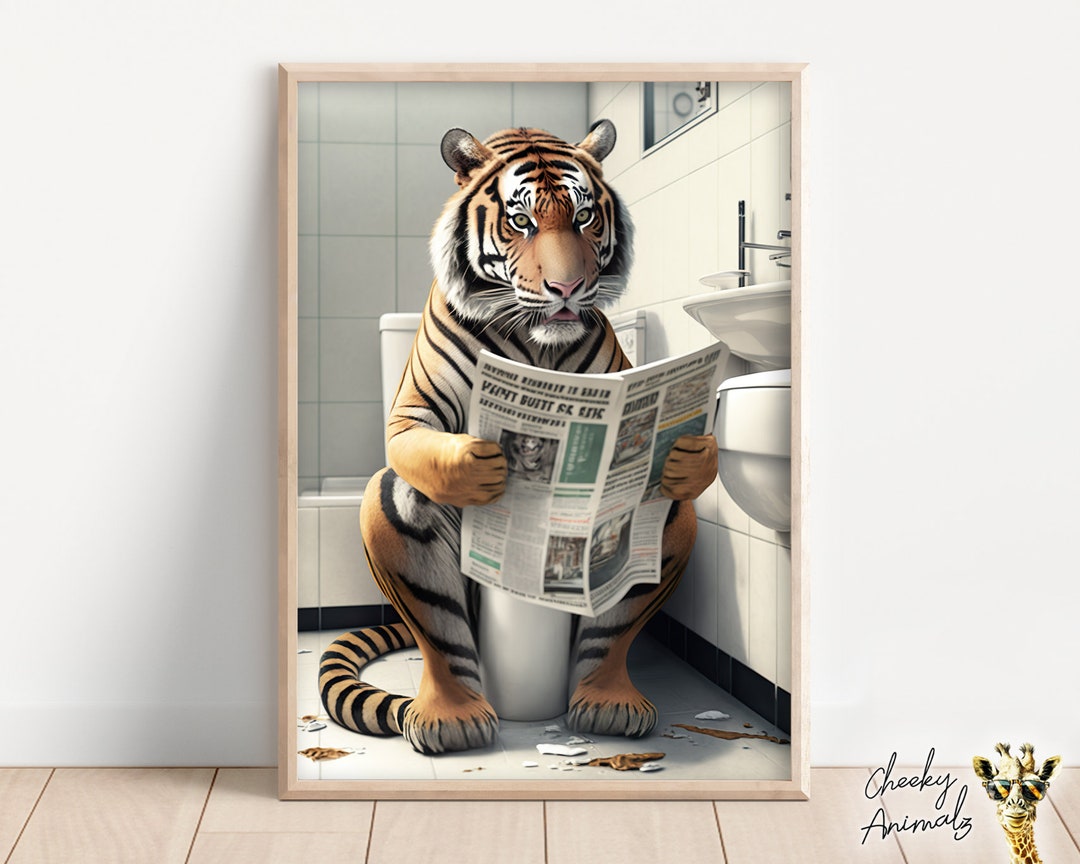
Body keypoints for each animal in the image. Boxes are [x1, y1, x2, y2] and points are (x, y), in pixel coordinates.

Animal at [318, 120, 719, 755]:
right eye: (522, 221)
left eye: (584, 217)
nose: (568, 287)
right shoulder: (413, 414)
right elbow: (413, 439)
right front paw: (479, 464)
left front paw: (688, 455)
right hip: (402, 517)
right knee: (445, 636)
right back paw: (452, 718)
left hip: (646, 530)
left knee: (610, 630)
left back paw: (608, 704)